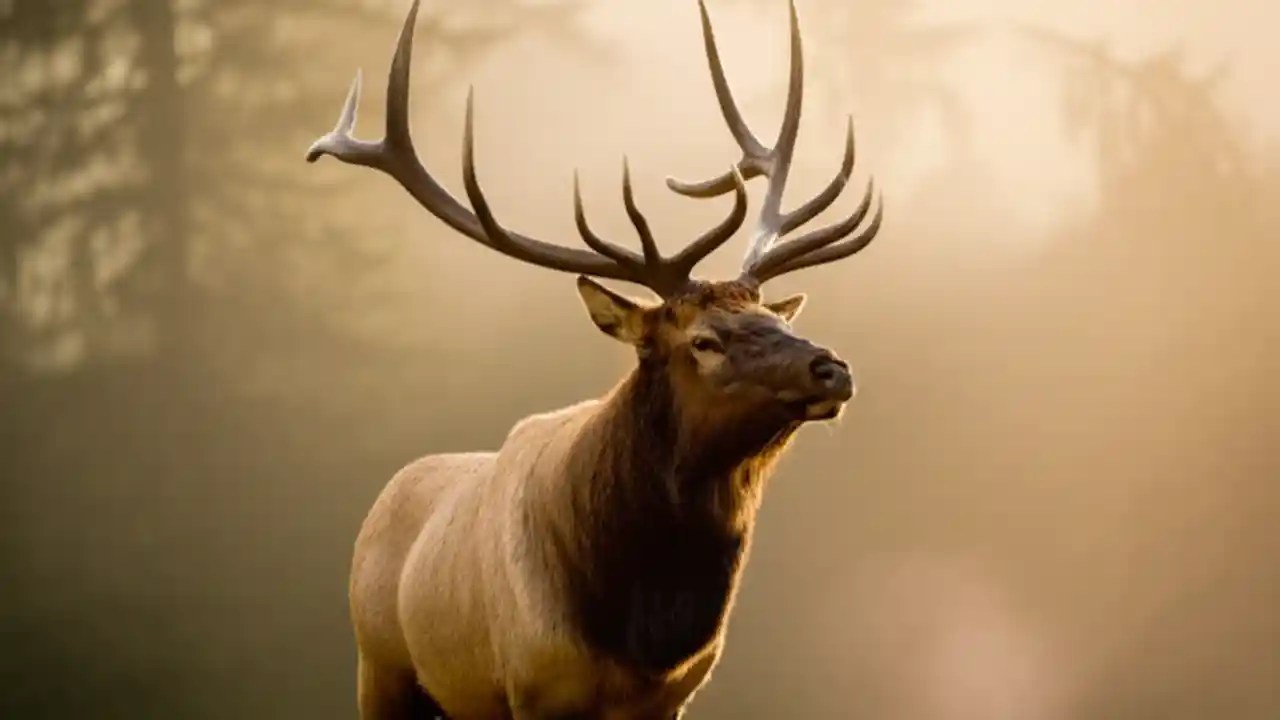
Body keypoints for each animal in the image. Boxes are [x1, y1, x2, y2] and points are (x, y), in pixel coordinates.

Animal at [306, 0, 882, 717]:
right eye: (704, 341)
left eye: (777, 318)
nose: (831, 368)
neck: (643, 637)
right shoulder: (535, 685)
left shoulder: (673, 696)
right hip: (379, 667)